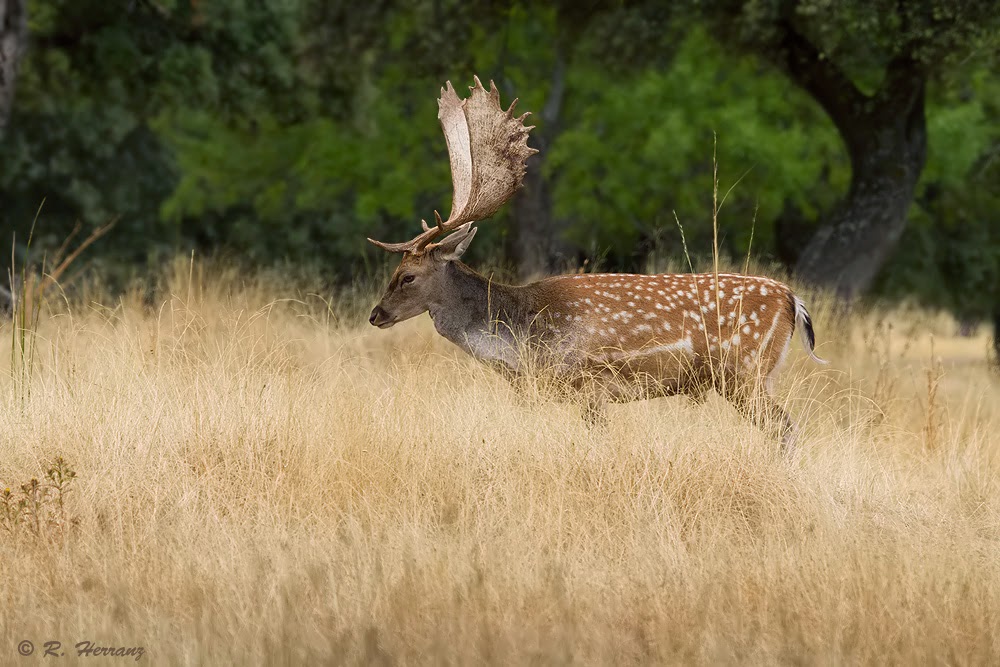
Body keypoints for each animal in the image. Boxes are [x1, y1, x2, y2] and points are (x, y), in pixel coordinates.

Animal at [367, 77, 827, 451]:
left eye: (407, 277)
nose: (376, 314)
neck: (524, 341)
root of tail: (793, 301)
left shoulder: (590, 385)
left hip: (745, 372)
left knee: (785, 429)